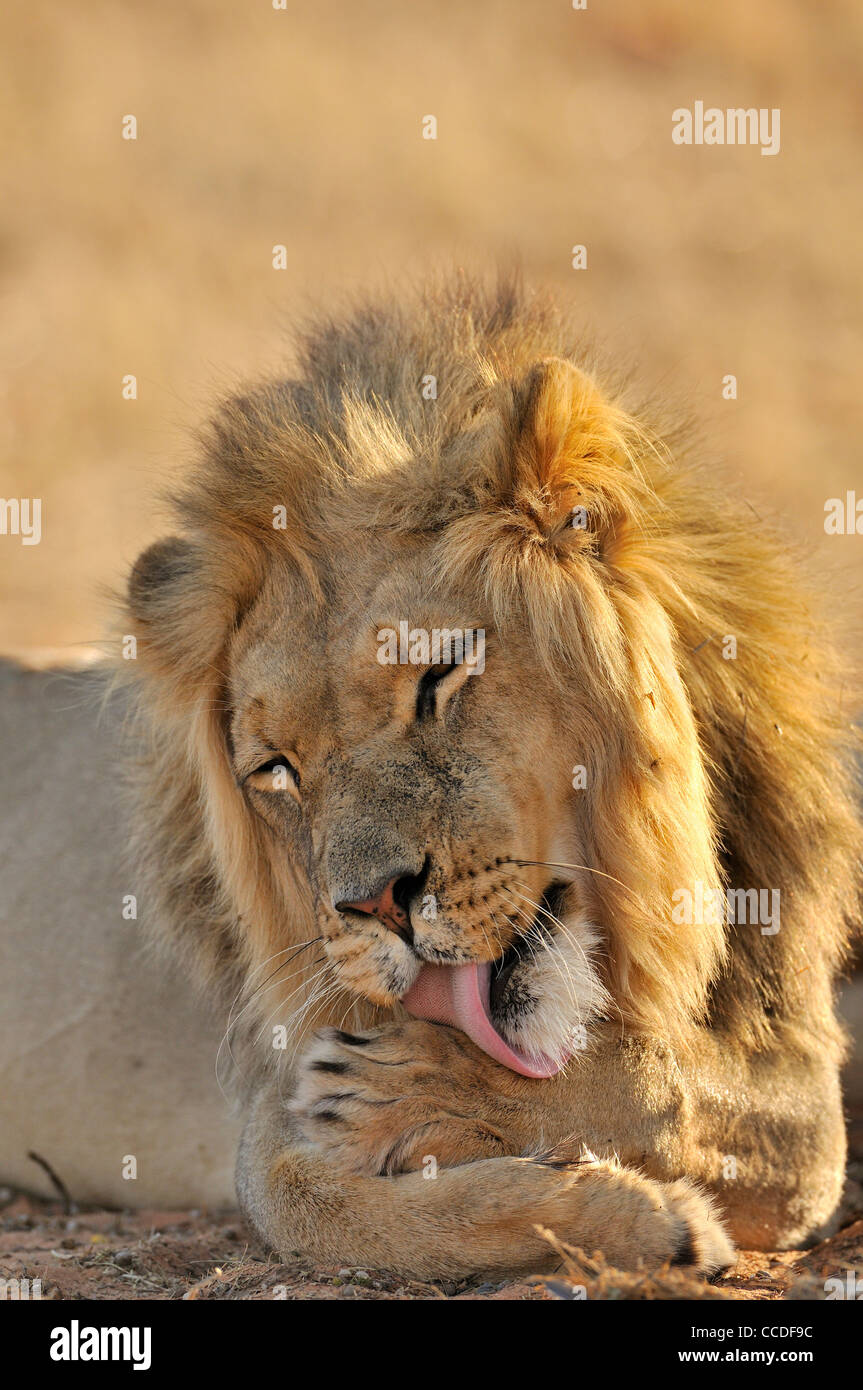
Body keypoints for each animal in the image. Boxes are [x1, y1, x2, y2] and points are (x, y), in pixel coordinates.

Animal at [1, 274, 860, 1281]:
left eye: (437, 676)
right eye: (277, 770)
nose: (375, 905)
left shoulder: (802, 1085)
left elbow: (662, 1087)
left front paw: (415, 1090)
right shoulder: (273, 1116)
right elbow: (340, 1211)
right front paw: (644, 1219)